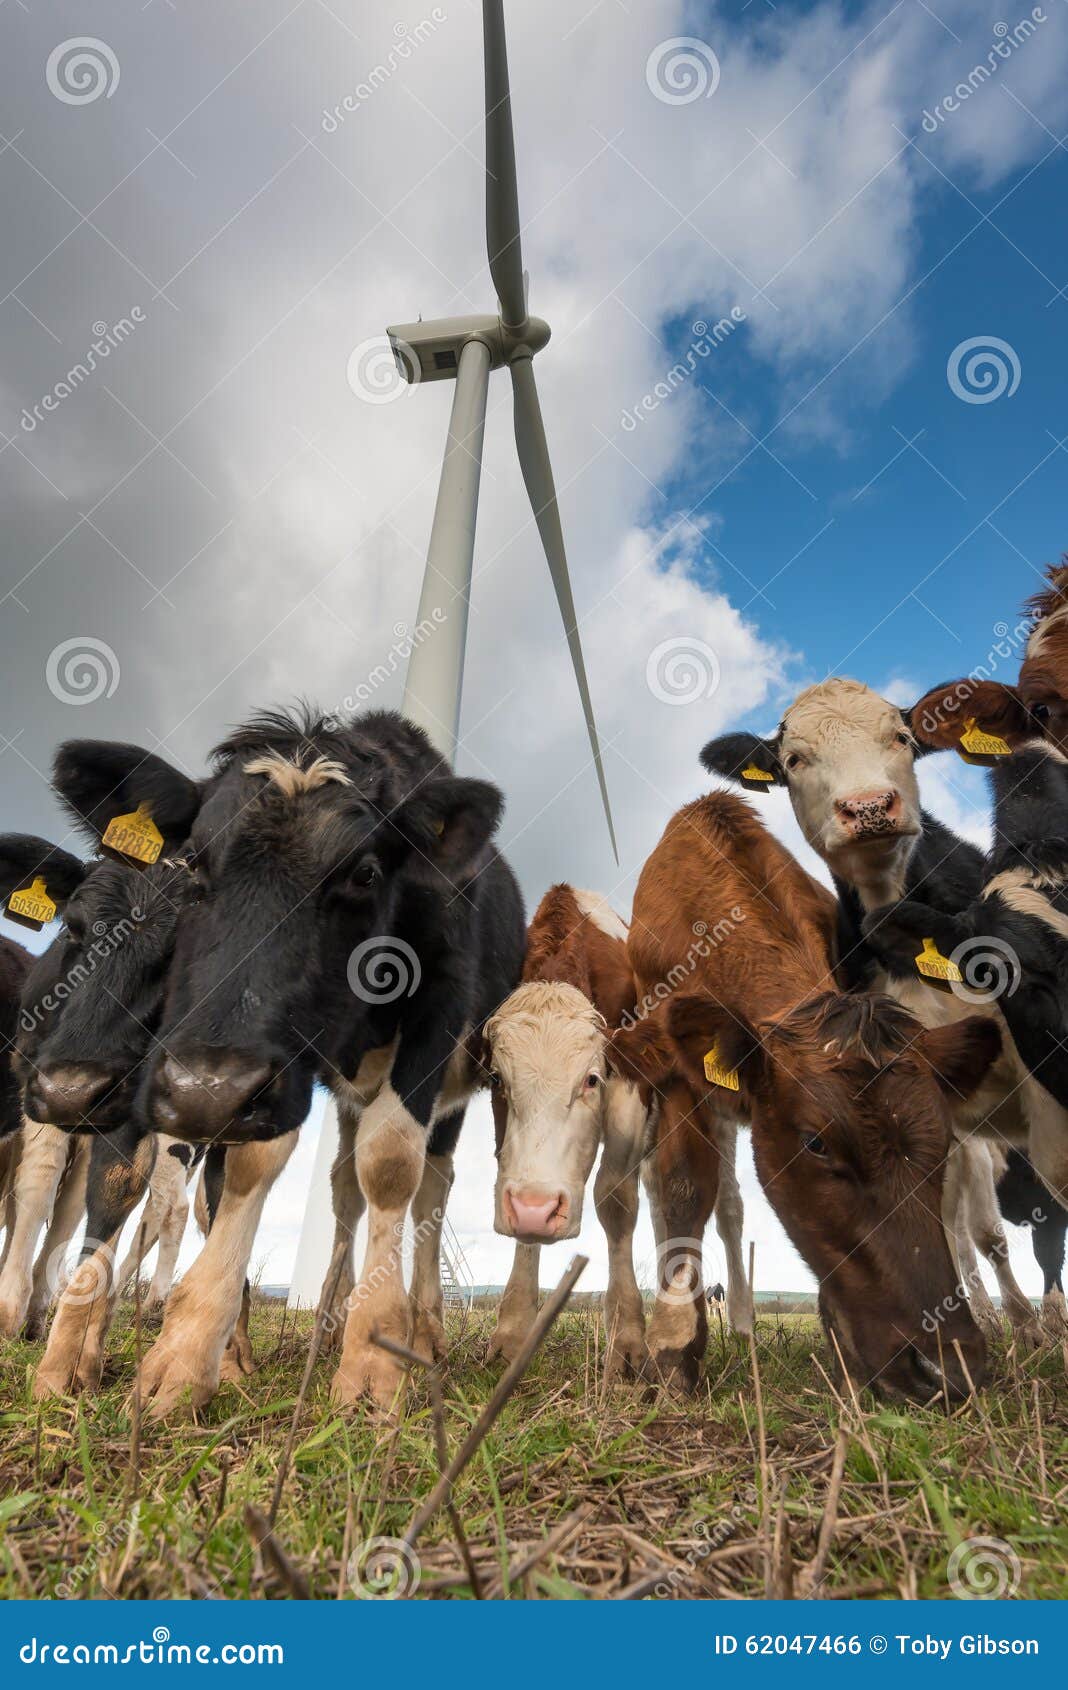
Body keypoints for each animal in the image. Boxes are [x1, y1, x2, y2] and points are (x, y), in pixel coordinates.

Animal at [134, 707, 525, 1415]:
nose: (206, 1090)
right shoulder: (274, 1074)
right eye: (191, 865)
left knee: (430, 1189)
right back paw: (331, 1317)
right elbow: (250, 1171)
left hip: (454, 1096)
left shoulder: (434, 1024)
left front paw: (373, 1359)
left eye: (364, 874)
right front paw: (192, 1353)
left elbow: (392, 1165)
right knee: (344, 1188)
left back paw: (423, 1333)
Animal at [482, 883, 751, 1380]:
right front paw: (513, 1333)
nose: (536, 1210)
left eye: (591, 1079)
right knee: (663, 1204)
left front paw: (627, 1341)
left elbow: (615, 1199)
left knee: (728, 1207)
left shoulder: (630, 1089)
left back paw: (742, 1323)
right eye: (496, 1079)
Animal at [607, 790, 997, 1403]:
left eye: (942, 1144)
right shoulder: (675, 1074)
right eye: (817, 1143)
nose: (950, 1368)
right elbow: (684, 1189)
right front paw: (673, 1347)